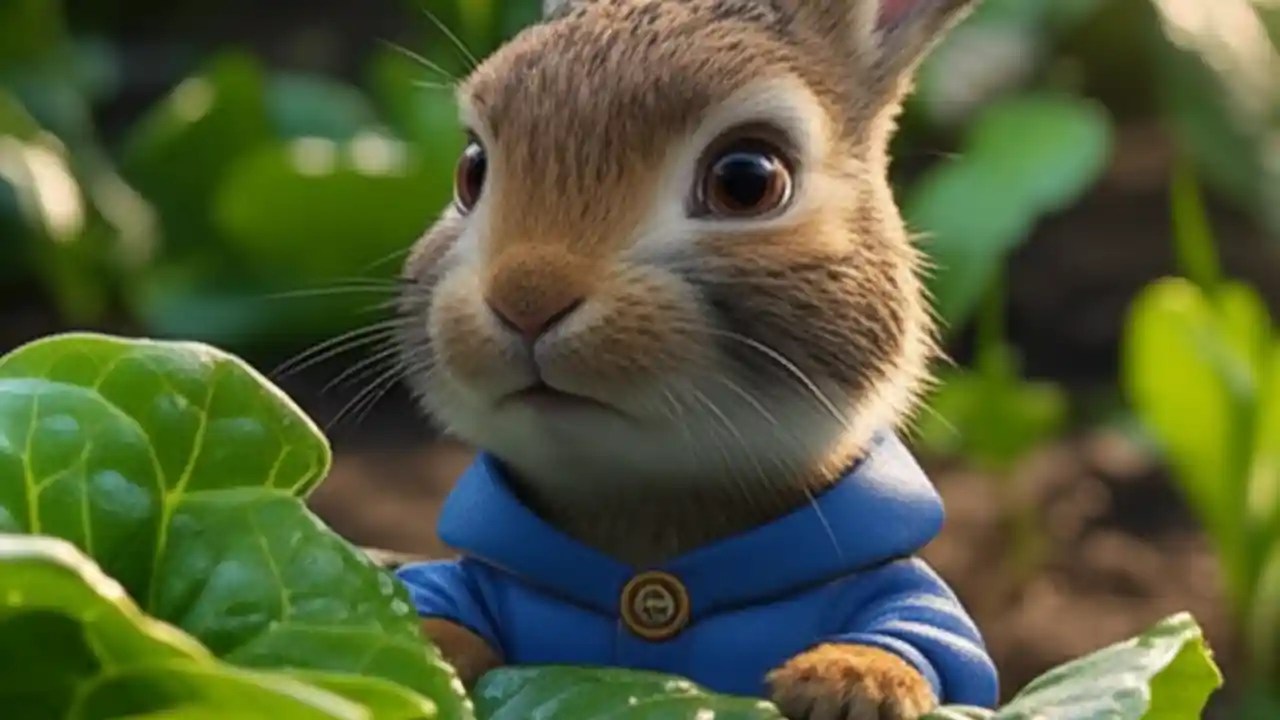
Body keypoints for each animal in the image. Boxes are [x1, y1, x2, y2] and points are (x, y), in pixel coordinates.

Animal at [393, 1, 998, 718]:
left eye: (746, 181)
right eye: (472, 169)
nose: (526, 296)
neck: (648, 503)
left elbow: (924, 627)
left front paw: (854, 683)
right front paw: (426, 649)